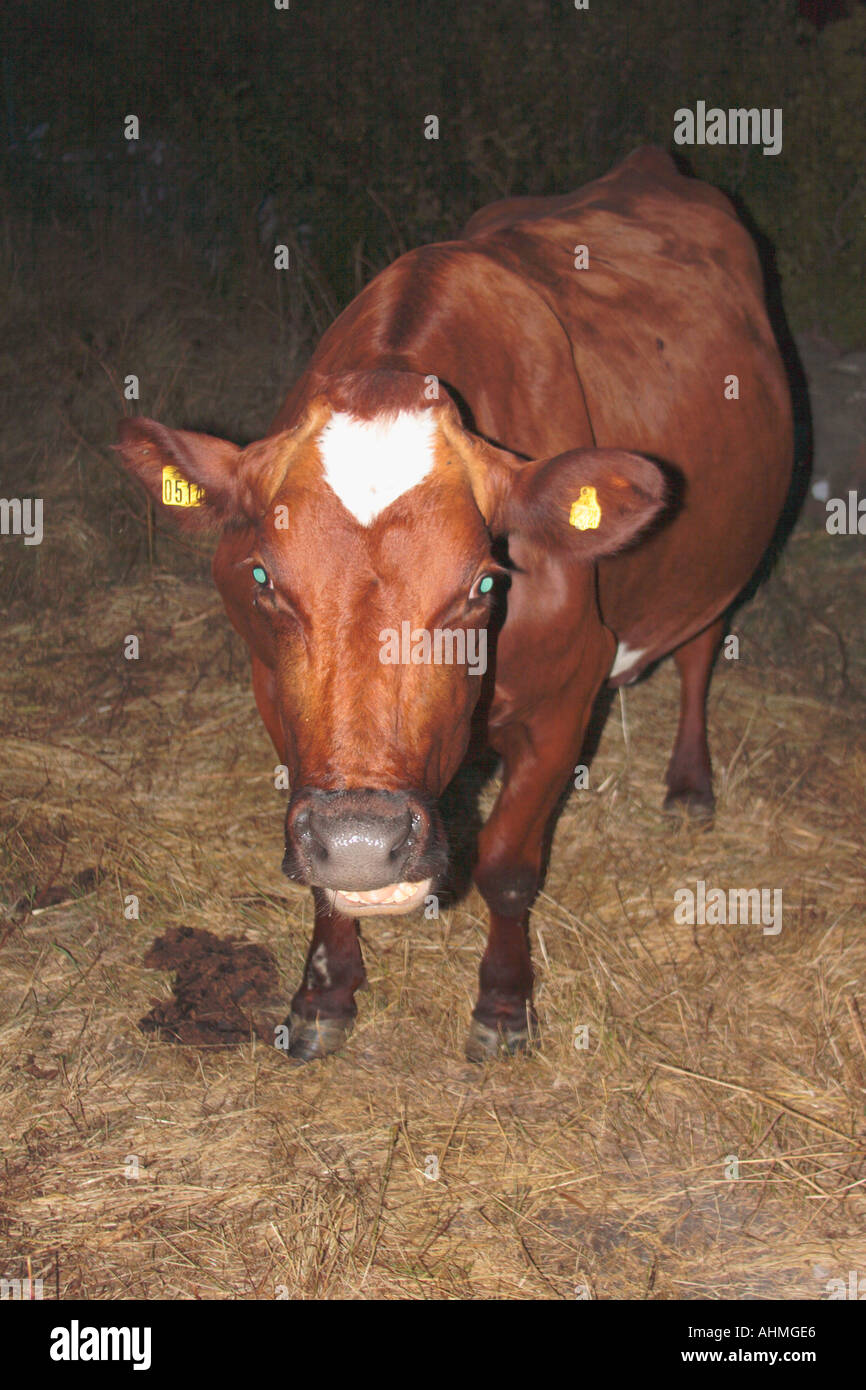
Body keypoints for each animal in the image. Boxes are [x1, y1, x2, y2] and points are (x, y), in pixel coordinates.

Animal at [117, 147, 793, 1063]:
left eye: (484, 585)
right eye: (262, 580)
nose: (362, 843)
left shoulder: (564, 698)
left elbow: (509, 864)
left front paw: (504, 1005)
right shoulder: (274, 698)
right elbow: (318, 875)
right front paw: (324, 994)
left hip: (723, 554)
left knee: (699, 649)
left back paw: (690, 786)